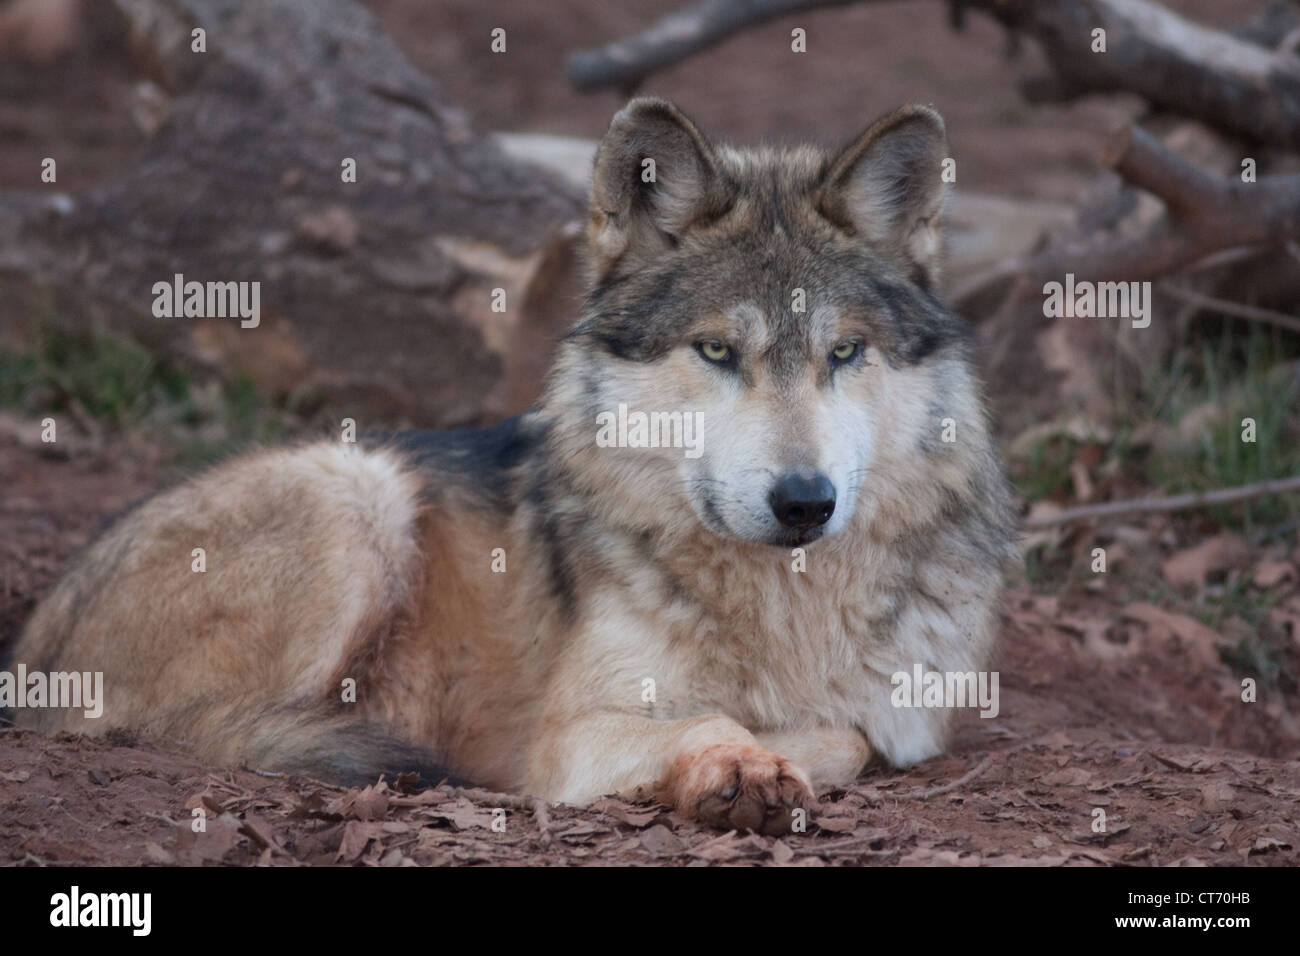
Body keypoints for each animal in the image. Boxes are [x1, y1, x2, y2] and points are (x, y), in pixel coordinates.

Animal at [12, 99, 1016, 834]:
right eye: (717, 351)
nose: (805, 501)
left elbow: (848, 736)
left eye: (845, 353)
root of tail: (28, 651)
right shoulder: (567, 737)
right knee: (182, 731)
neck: (787, 613)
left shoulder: (905, 723)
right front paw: (734, 766)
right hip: (355, 492)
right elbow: (715, 720)